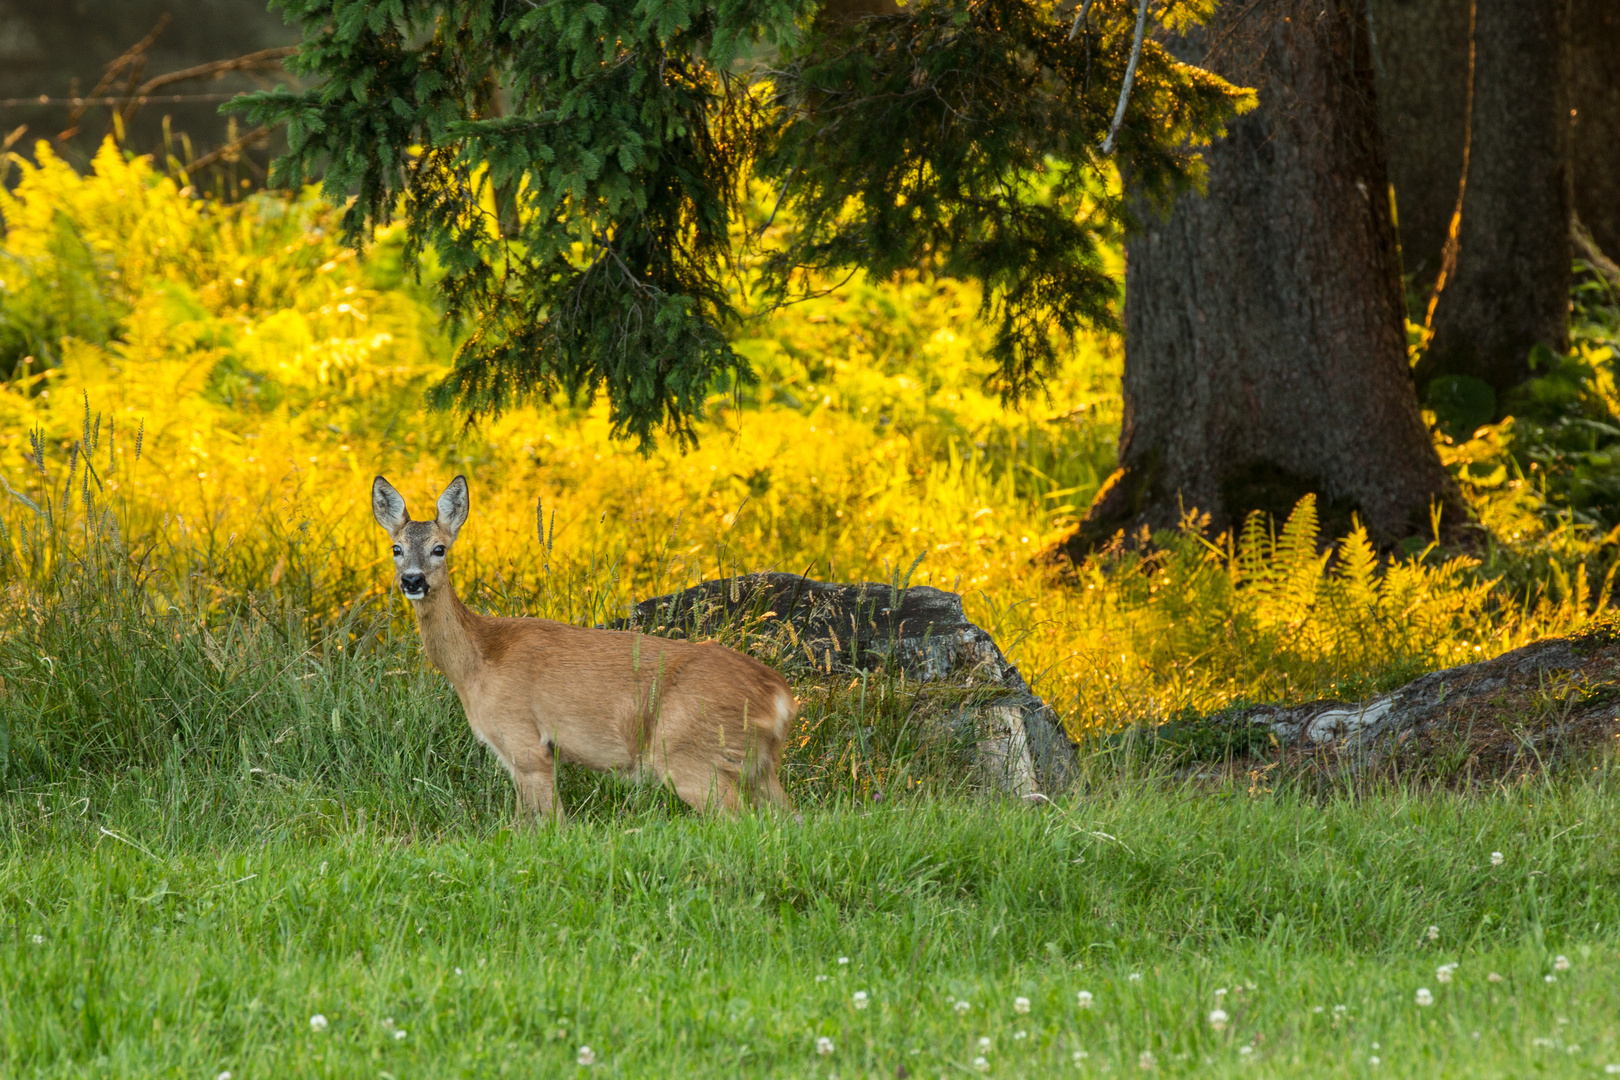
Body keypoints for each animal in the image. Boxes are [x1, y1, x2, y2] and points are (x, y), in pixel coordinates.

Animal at [369, 472, 797, 819]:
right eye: (396, 548)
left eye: (439, 548)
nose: (412, 580)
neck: (478, 662)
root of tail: (780, 698)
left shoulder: (525, 742)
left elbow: (551, 826)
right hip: (760, 766)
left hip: (689, 754)